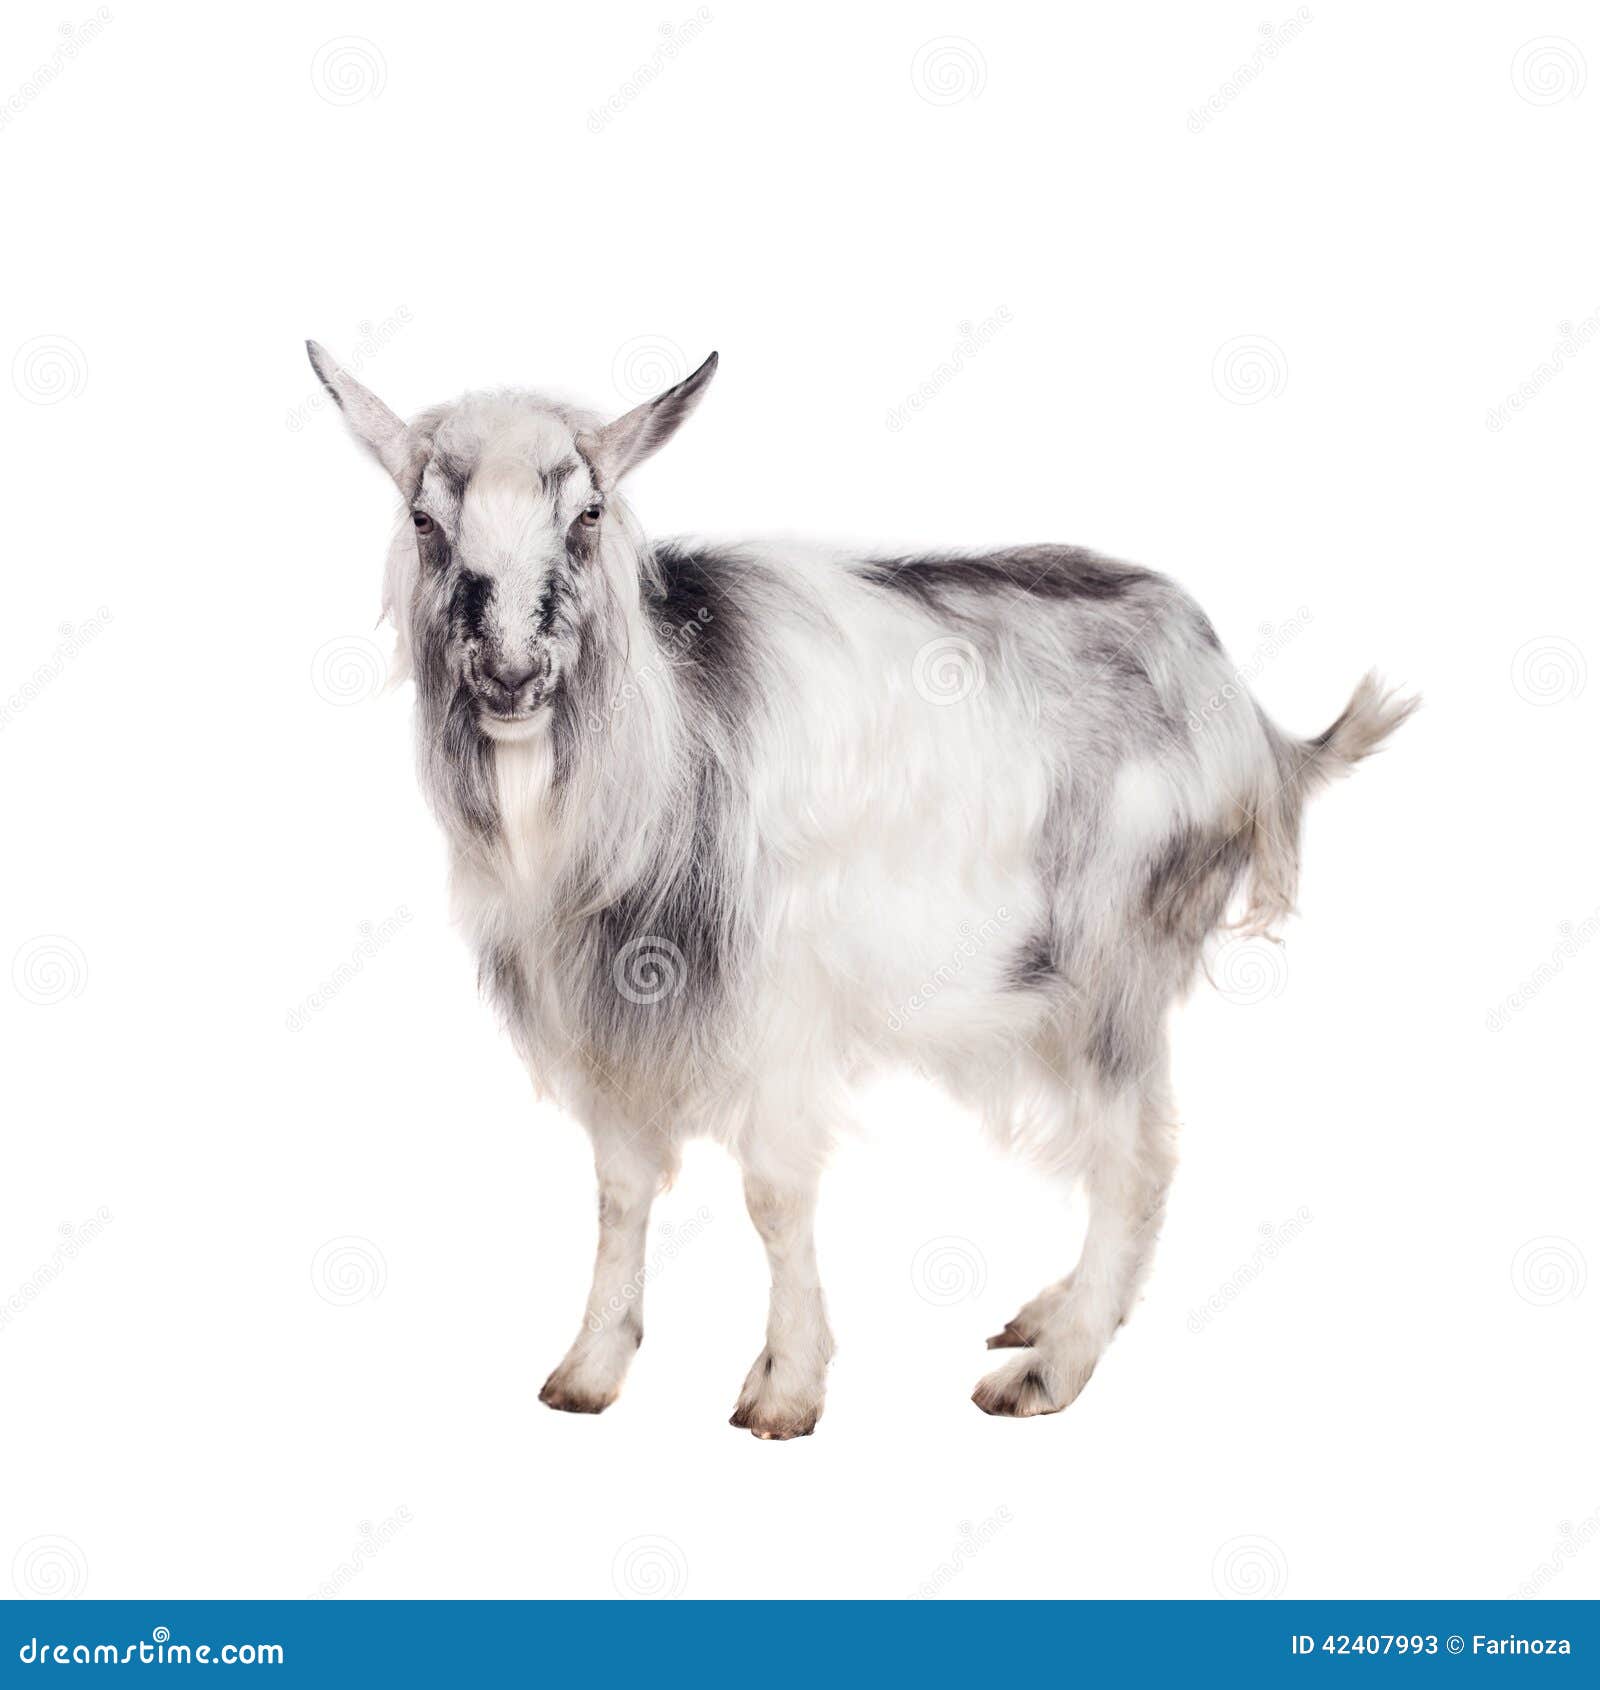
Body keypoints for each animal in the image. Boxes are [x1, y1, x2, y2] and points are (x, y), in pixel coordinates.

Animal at [307, 340, 1415, 1438]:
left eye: (586, 514)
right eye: (423, 518)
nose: (509, 673)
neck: (658, 746)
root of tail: (1254, 723)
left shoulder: (773, 1007)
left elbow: (773, 1194)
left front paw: (785, 1388)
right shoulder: (609, 1023)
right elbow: (620, 1191)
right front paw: (588, 1369)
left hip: (1117, 964)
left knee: (1136, 1153)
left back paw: (1048, 1369)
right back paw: (1053, 1313)